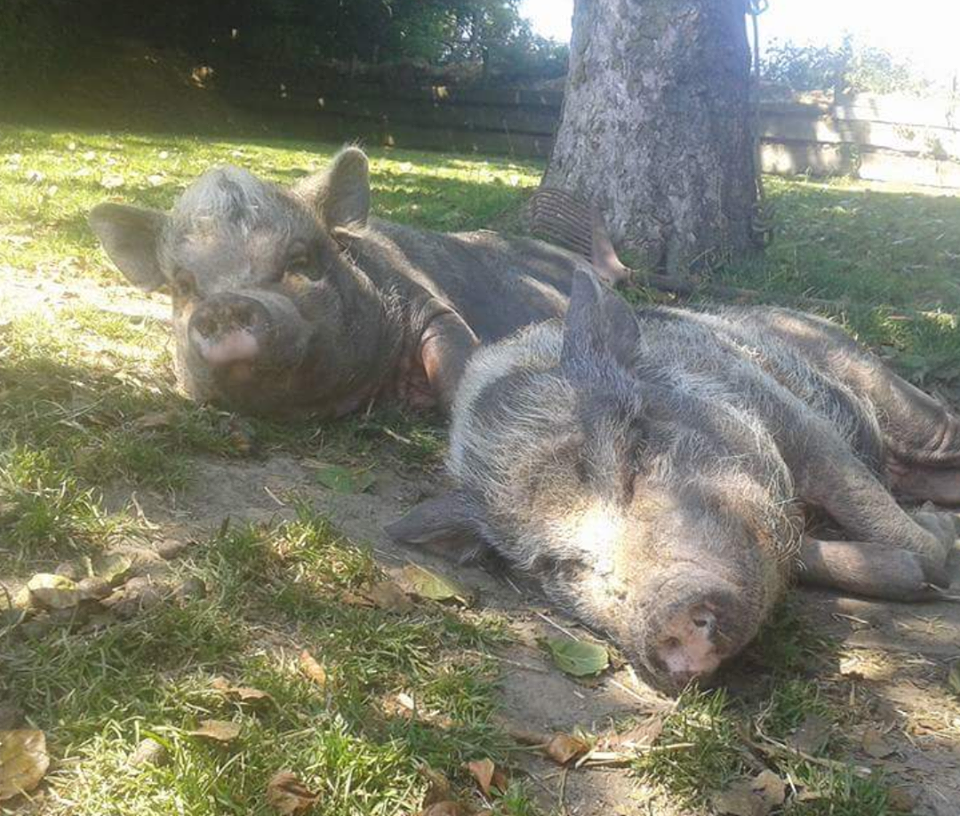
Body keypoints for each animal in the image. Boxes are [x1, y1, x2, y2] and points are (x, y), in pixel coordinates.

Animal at [387, 271, 959, 692]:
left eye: (636, 451)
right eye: (561, 565)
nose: (667, 619)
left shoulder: (792, 418)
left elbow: (855, 492)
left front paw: (939, 545)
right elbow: (809, 553)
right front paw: (915, 570)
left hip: (891, 396)